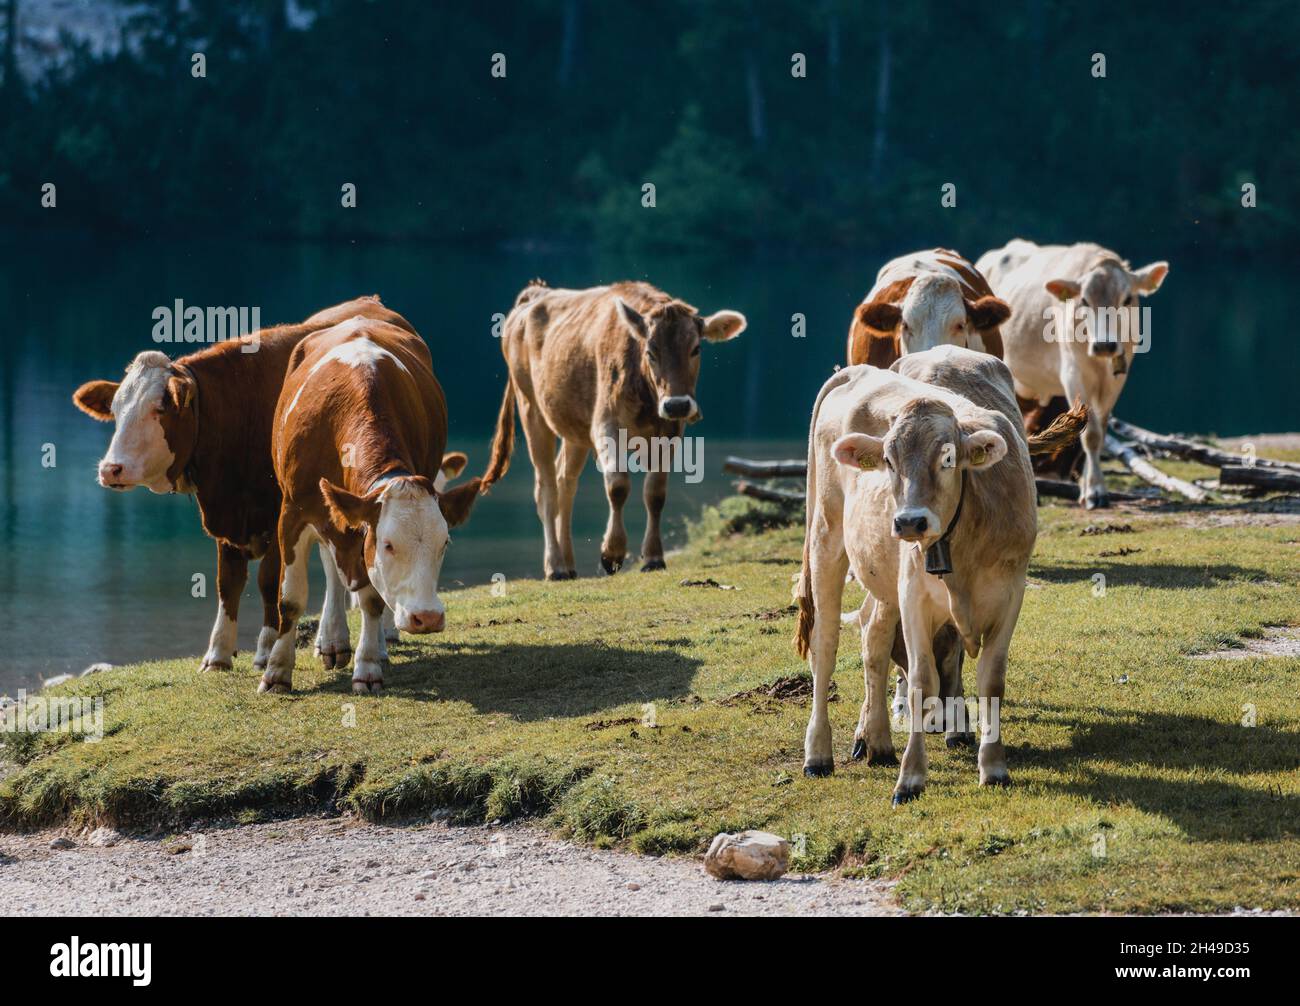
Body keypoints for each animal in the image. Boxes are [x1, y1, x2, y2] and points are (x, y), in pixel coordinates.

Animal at [71, 296, 417, 674]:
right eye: (116, 410)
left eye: (159, 408)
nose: (111, 469)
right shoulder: (228, 517)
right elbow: (228, 583)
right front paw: (218, 654)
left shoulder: (278, 514)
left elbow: (269, 582)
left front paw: (266, 651)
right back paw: (332, 640)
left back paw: (382, 637)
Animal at [262, 316, 481, 695]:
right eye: (389, 544)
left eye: (444, 543)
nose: (427, 617)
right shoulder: (293, 512)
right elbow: (290, 598)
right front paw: (277, 672)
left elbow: (373, 599)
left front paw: (367, 667)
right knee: (332, 566)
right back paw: (333, 640)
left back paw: (374, 646)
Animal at [479, 280, 746, 579]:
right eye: (650, 351)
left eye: (696, 349)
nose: (677, 404)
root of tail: (536, 293)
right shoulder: (606, 425)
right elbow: (618, 485)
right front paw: (612, 553)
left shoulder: (669, 432)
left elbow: (655, 493)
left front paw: (653, 557)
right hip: (531, 407)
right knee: (547, 487)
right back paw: (555, 566)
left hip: (575, 427)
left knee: (565, 482)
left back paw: (569, 563)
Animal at [794, 346, 1037, 803]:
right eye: (888, 461)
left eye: (948, 458)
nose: (909, 521)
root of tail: (859, 371)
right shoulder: (914, 596)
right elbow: (922, 678)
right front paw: (911, 777)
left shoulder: (1011, 592)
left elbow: (991, 679)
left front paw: (993, 766)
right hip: (826, 538)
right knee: (825, 645)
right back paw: (818, 753)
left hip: (882, 576)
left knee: (873, 638)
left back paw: (878, 741)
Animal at [976, 239, 1169, 508]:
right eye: (1084, 300)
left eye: (1127, 298)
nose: (1105, 344)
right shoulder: (1073, 374)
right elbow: (1090, 434)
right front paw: (1095, 492)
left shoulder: (1116, 381)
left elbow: (1100, 431)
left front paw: (1091, 487)